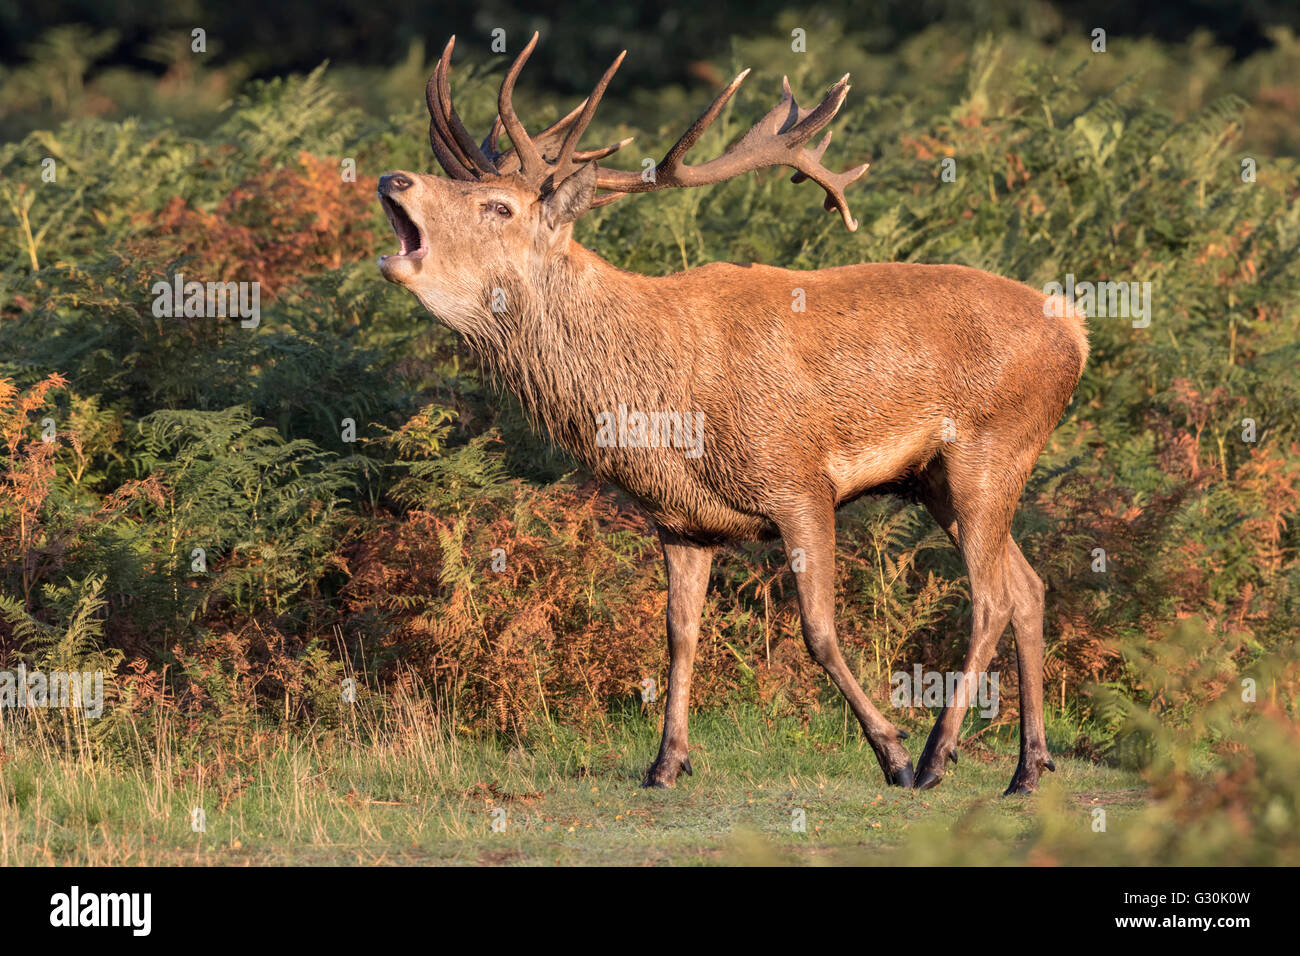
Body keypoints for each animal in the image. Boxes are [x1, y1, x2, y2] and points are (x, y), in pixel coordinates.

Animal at [376, 33, 1088, 795]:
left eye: (499, 207)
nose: (393, 178)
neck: (662, 415)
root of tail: (1077, 333)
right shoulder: (680, 521)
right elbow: (679, 634)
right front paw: (666, 762)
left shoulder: (800, 483)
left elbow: (818, 631)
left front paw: (890, 751)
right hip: (936, 479)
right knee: (1029, 588)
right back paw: (1028, 769)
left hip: (992, 445)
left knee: (990, 598)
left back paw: (934, 757)